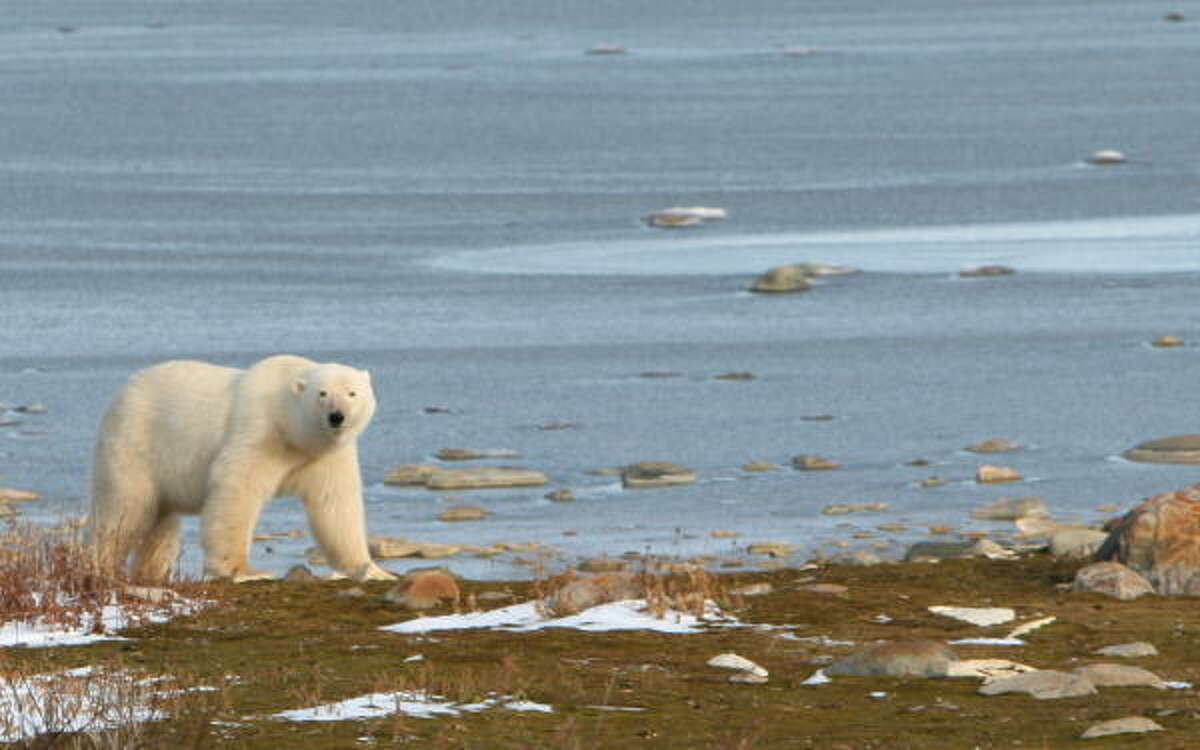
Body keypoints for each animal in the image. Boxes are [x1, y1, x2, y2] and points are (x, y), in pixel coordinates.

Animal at [88, 354, 396, 583]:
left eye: (352, 393)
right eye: (322, 394)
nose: (337, 417)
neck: (290, 426)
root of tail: (122, 392)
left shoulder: (324, 456)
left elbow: (336, 504)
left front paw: (372, 569)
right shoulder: (260, 430)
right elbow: (236, 486)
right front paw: (244, 571)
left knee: (161, 522)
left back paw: (151, 573)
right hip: (135, 441)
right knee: (124, 508)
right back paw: (99, 566)